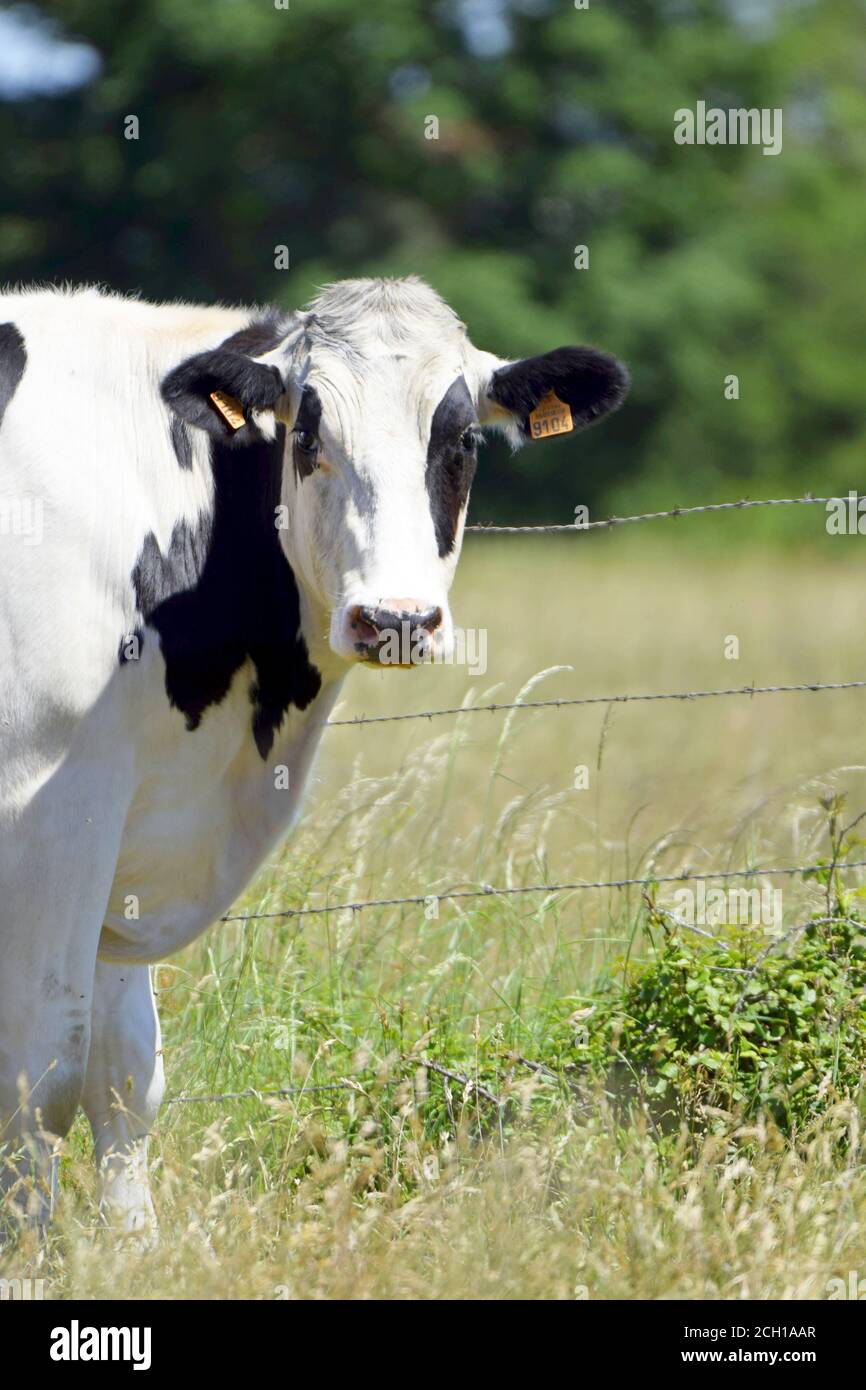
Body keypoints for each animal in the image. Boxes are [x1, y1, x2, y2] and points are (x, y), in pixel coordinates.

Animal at [0, 276, 628, 1236]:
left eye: (463, 439)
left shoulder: (134, 817)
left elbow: (125, 1074)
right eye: (305, 434)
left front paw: (133, 1248)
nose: (396, 617)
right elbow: (44, 1073)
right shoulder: (53, 804)